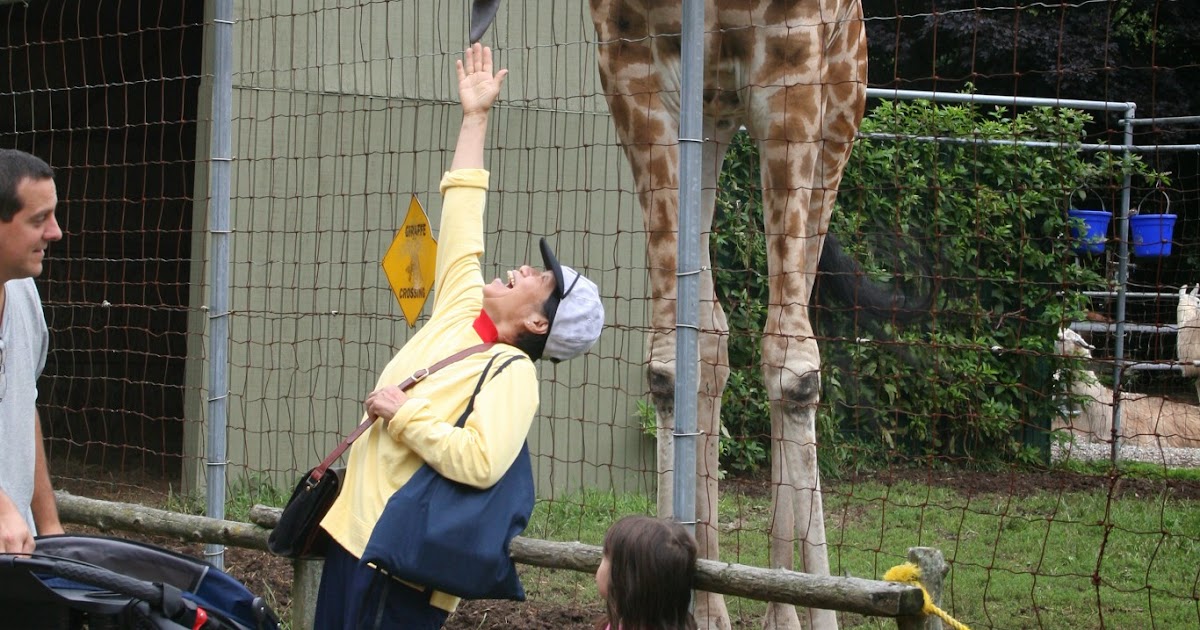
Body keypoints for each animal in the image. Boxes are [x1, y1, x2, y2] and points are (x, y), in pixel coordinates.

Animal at [474, 3, 868, 629]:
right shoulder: (632, 65)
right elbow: (670, 363)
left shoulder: (791, 56)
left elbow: (794, 368)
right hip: (711, 119)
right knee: (713, 333)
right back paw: (717, 603)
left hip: (840, 106)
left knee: (791, 334)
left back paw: (791, 606)